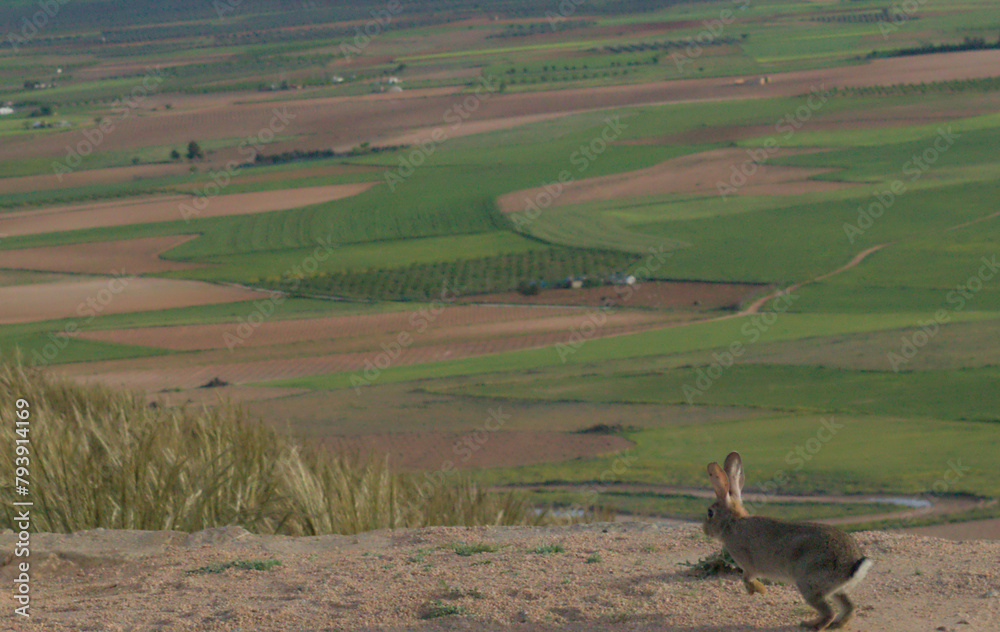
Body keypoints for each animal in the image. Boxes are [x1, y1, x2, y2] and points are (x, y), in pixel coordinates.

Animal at [702, 452, 873, 631]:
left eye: (710, 513)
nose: (705, 529)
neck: (732, 523)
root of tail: (852, 565)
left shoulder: (749, 564)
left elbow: (746, 578)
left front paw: (758, 590)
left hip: (809, 585)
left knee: (828, 612)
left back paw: (810, 625)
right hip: (835, 589)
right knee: (849, 607)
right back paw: (836, 625)